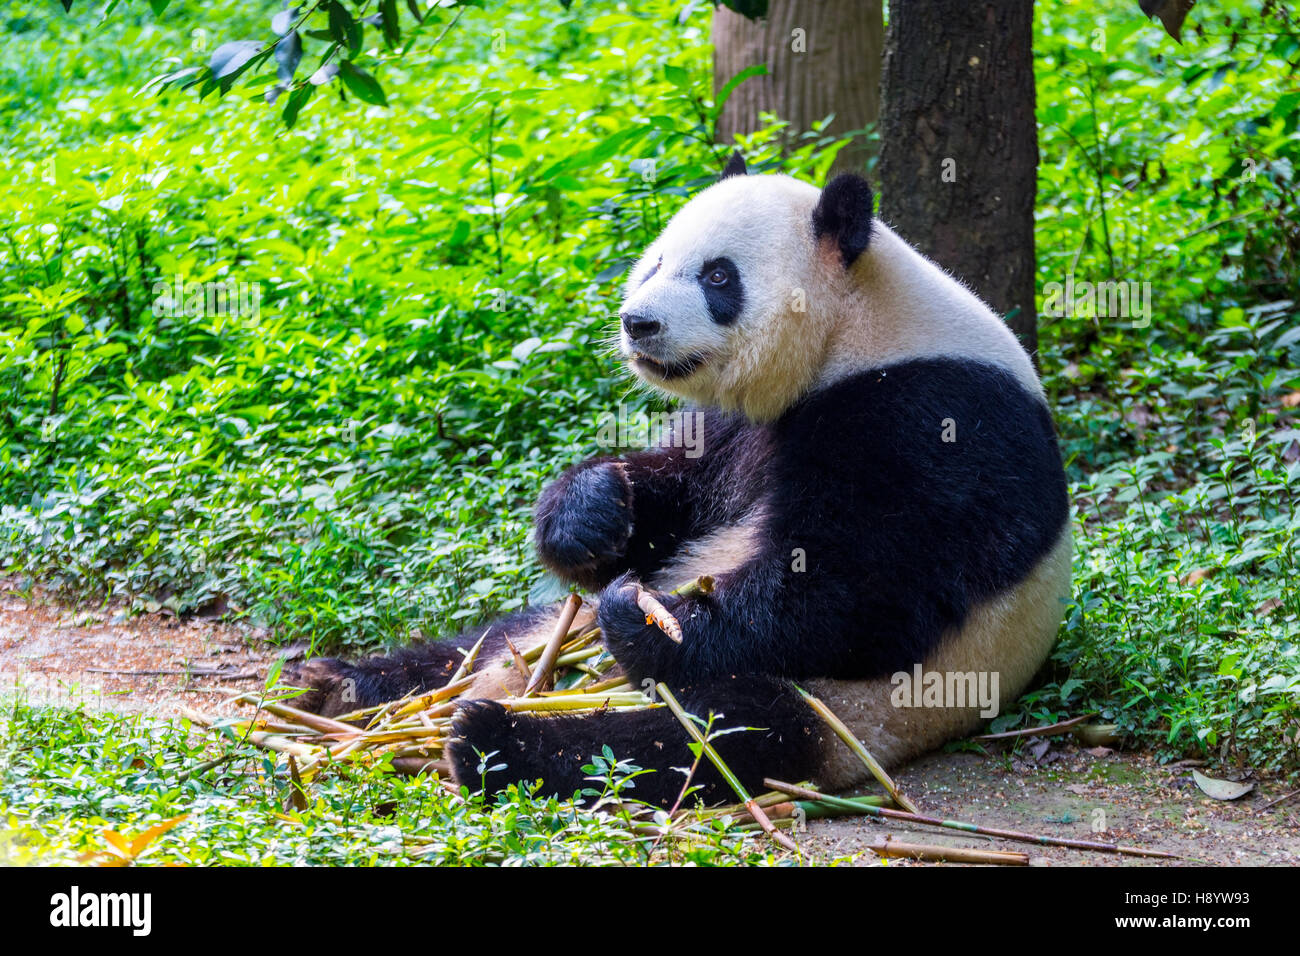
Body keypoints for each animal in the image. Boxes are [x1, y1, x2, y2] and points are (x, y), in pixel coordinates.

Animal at [288, 153, 1072, 806]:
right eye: (655, 262)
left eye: (718, 276)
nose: (638, 324)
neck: (853, 329)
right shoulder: (738, 425)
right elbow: (676, 491)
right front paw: (592, 515)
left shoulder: (931, 419)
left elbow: (856, 597)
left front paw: (644, 618)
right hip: (538, 636)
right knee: (482, 643)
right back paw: (341, 685)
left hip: (860, 711)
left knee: (707, 733)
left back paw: (494, 741)